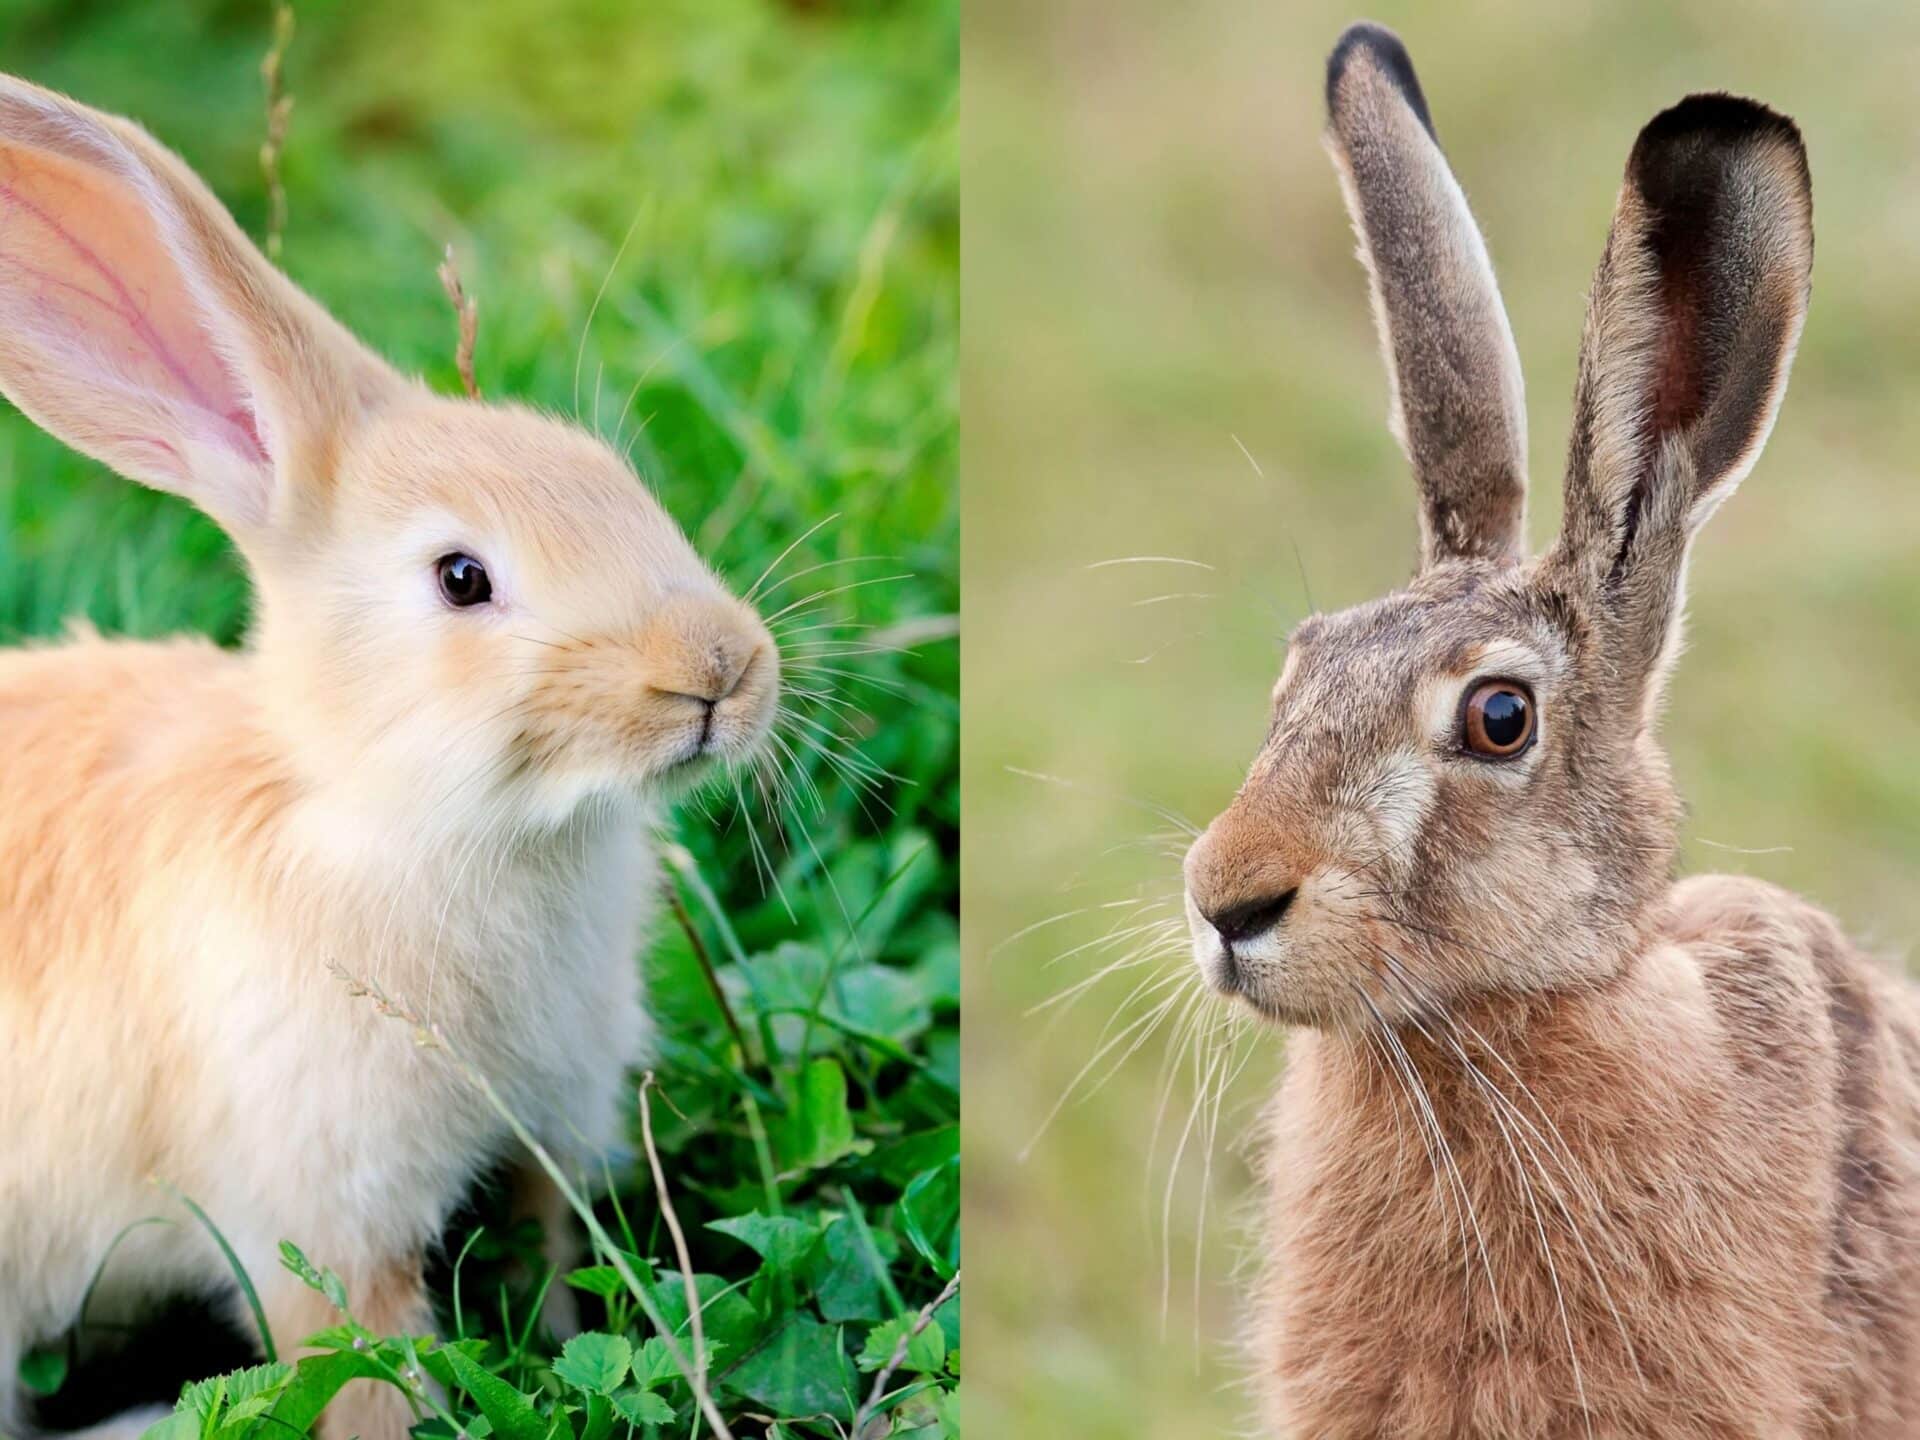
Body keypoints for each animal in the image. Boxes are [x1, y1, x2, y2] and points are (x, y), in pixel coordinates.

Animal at [0, 70, 779, 1440]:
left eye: (616, 480)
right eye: (461, 578)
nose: (721, 671)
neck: (404, 815)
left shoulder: (544, 1146)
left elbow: (552, 1271)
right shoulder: (322, 1219)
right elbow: (361, 1367)